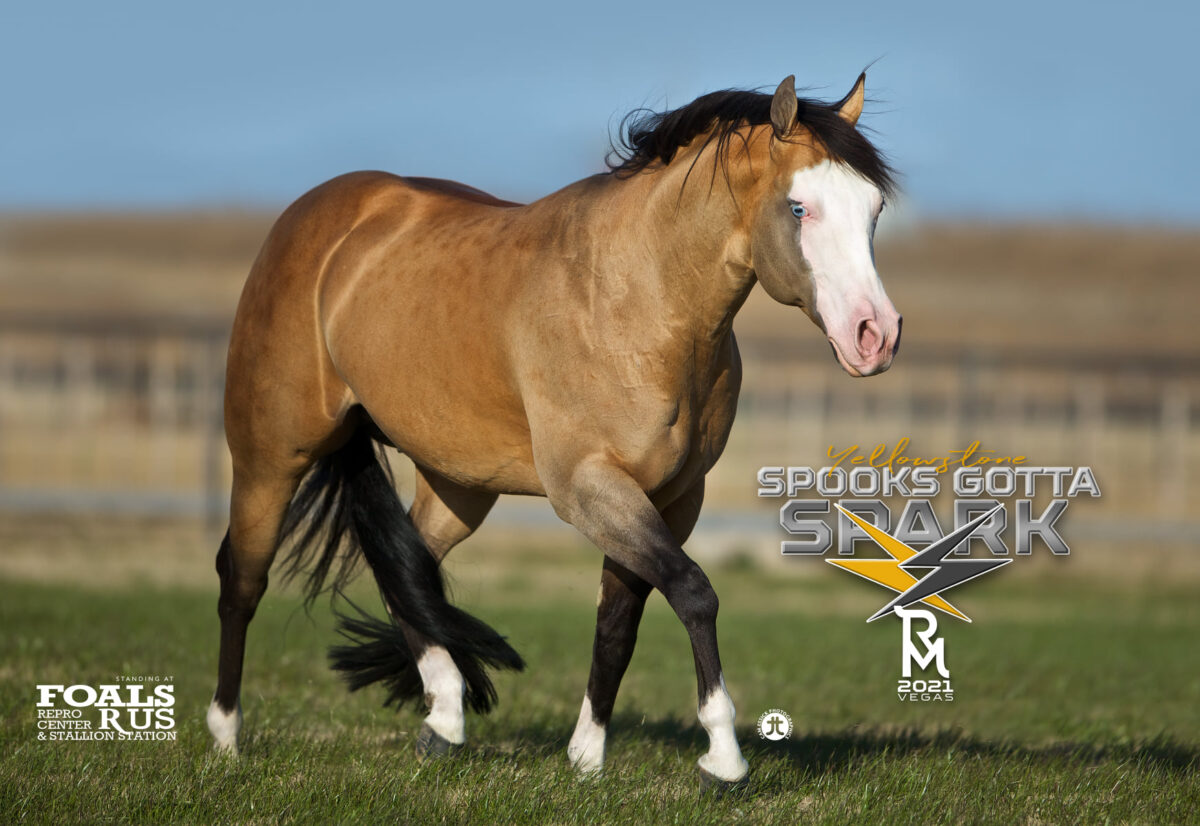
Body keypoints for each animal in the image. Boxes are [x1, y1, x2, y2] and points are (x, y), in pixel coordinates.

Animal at [206, 73, 900, 792]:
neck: (635, 300)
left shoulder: (671, 498)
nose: (874, 336)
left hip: (458, 487)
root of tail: (319, 217)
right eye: (799, 208)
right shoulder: (588, 488)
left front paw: (586, 759)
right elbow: (694, 592)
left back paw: (444, 720)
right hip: (269, 458)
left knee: (406, 568)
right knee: (243, 578)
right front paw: (722, 757)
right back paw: (226, 740)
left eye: (875, 207)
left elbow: (617, 626)